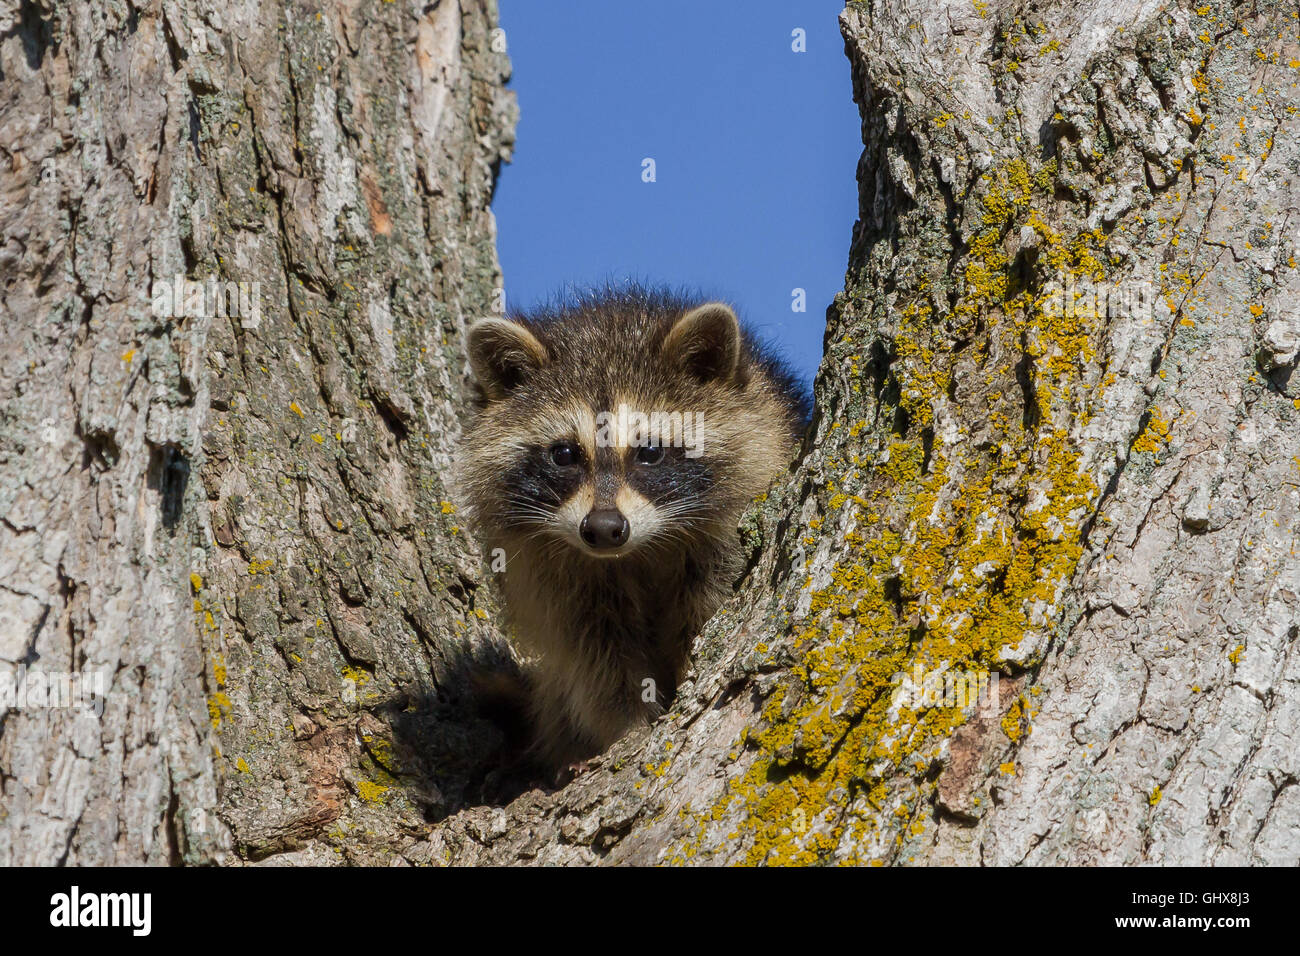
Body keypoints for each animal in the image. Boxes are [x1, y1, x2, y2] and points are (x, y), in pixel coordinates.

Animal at [457, 286, 809, 770]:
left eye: (650, 452)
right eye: (564, 454)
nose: (605, 528)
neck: (639, 550)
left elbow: (706, 605)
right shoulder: (555, 576)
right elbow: (594, 653)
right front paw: (628, 726)